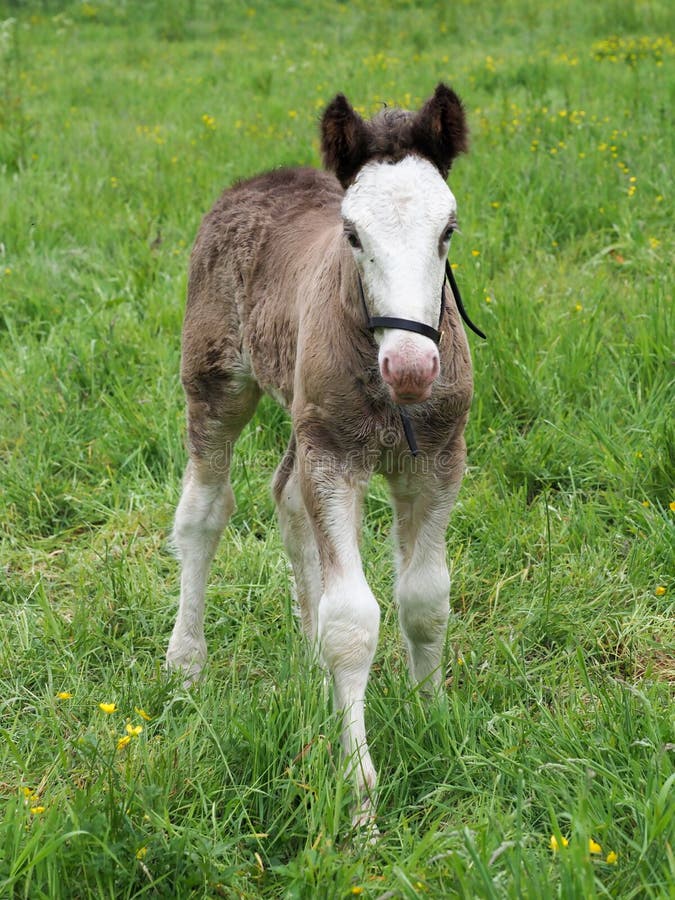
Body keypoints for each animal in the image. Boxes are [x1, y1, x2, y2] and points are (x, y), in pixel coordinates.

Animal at [166, 83, 477, 829]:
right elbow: (353, 621)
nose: (412, 368)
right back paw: (186, 663)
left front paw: (434, 722)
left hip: (301, 416)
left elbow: (424, 599)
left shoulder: (436, 461)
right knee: (204, 512)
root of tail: (256, 179)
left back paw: (308, 670)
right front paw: (359, 798)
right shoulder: (335, 456)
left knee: (284, 496)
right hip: (217, 383)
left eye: (447, 230)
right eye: (354, 234)